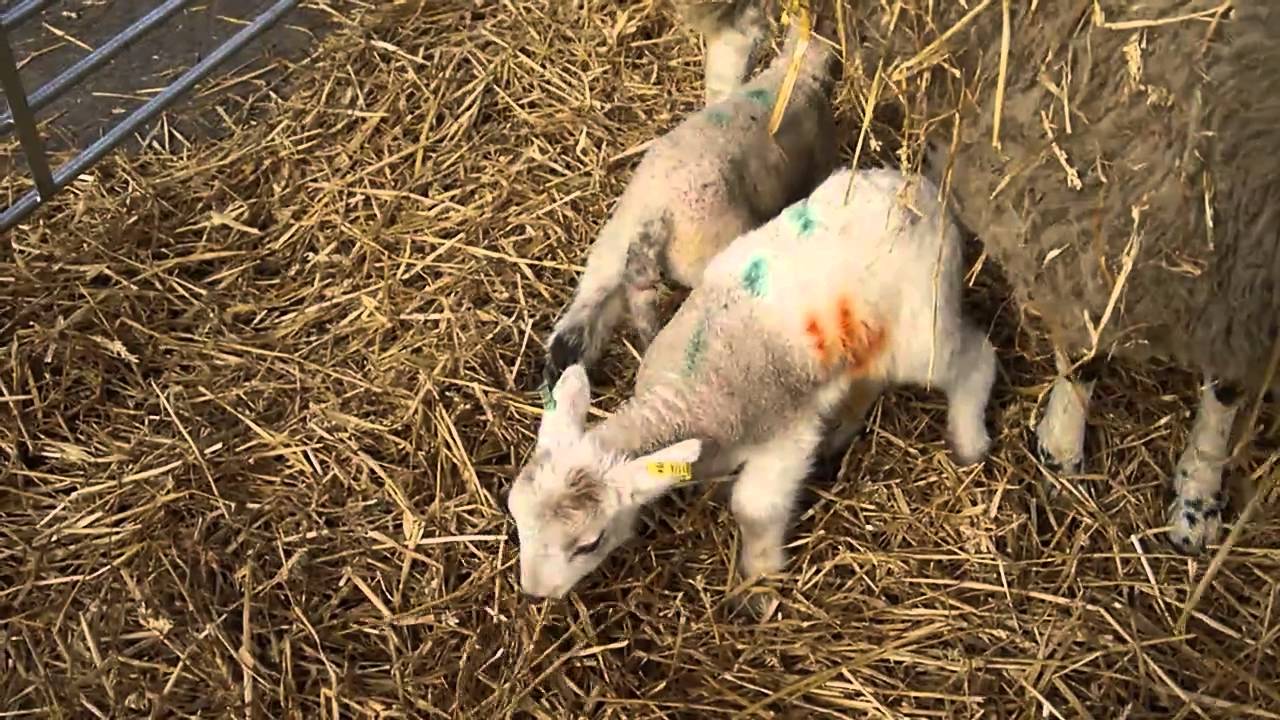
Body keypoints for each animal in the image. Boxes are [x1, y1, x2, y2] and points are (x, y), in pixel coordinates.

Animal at [507, 166, 998, 601]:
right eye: (515, 517)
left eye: (589, 543)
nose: (534, 594)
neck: (691, 395)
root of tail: (919, 185)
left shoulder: (786, 436)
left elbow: (754, 508)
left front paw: (760, 581)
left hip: (923, 322)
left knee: (975, 359)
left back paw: (969, 442)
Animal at [676, 0, 1280, 554]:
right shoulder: (1084, 209)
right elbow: (1084, 353)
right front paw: (1062, 450)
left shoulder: (1237, 280)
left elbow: (1225, 389)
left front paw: (1198, 496)